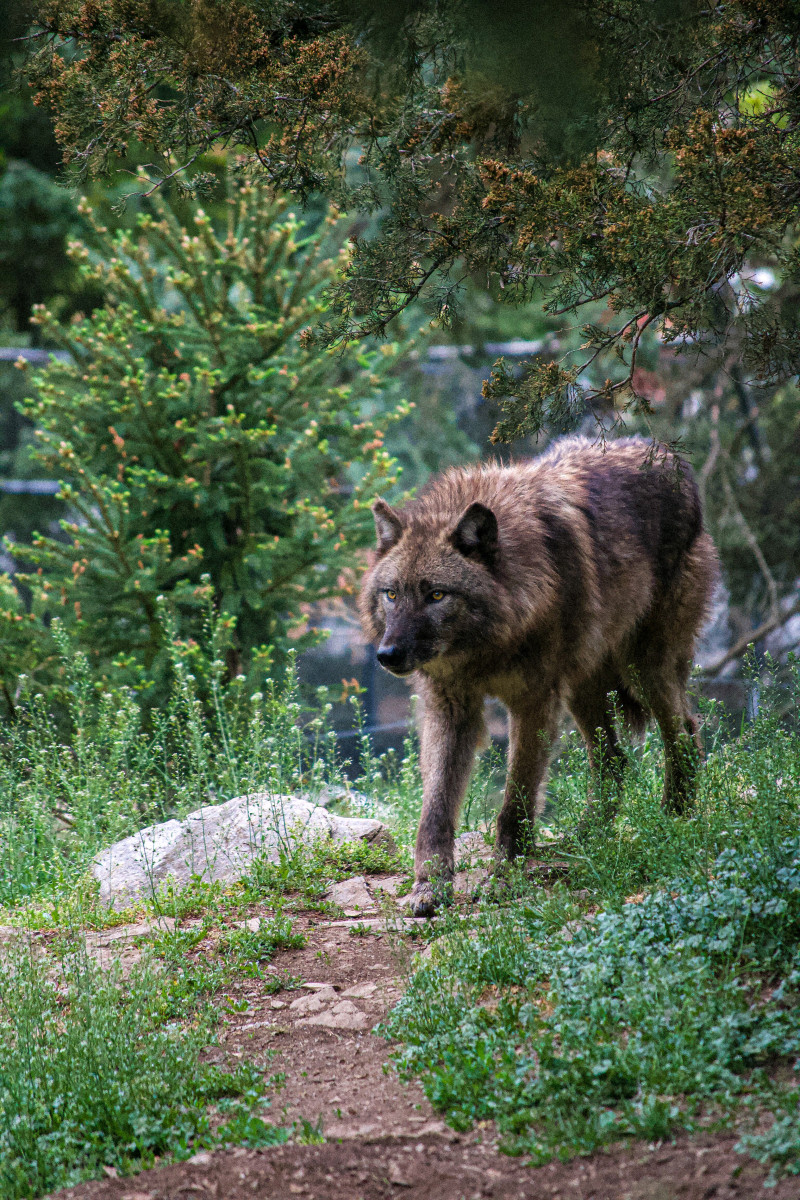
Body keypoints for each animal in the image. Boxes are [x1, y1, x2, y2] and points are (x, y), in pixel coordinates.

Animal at [358, 436, 719, 917]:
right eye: (392, 594)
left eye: (436, 595)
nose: (387, 655)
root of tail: (666, 455)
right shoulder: (448, 707)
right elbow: (434, 810)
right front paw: (429, 887)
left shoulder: (533, 703)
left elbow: (516, 804)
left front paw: (503, 879)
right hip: (583, 685)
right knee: (614, 759)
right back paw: (584, 841)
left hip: (641, 671)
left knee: (684, 734)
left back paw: (673, 821)